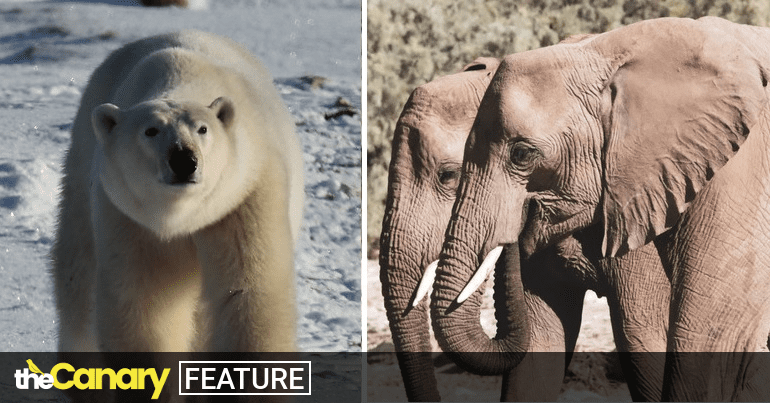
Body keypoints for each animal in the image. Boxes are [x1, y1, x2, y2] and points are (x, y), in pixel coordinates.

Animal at [52, 30, 303, 359]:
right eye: (150, 131)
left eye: (203, 129)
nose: (184, 160)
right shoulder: (131, 217)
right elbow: (146, 302)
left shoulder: (245, 195)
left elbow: (246, 292)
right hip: (82, 170)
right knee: (77, 272)